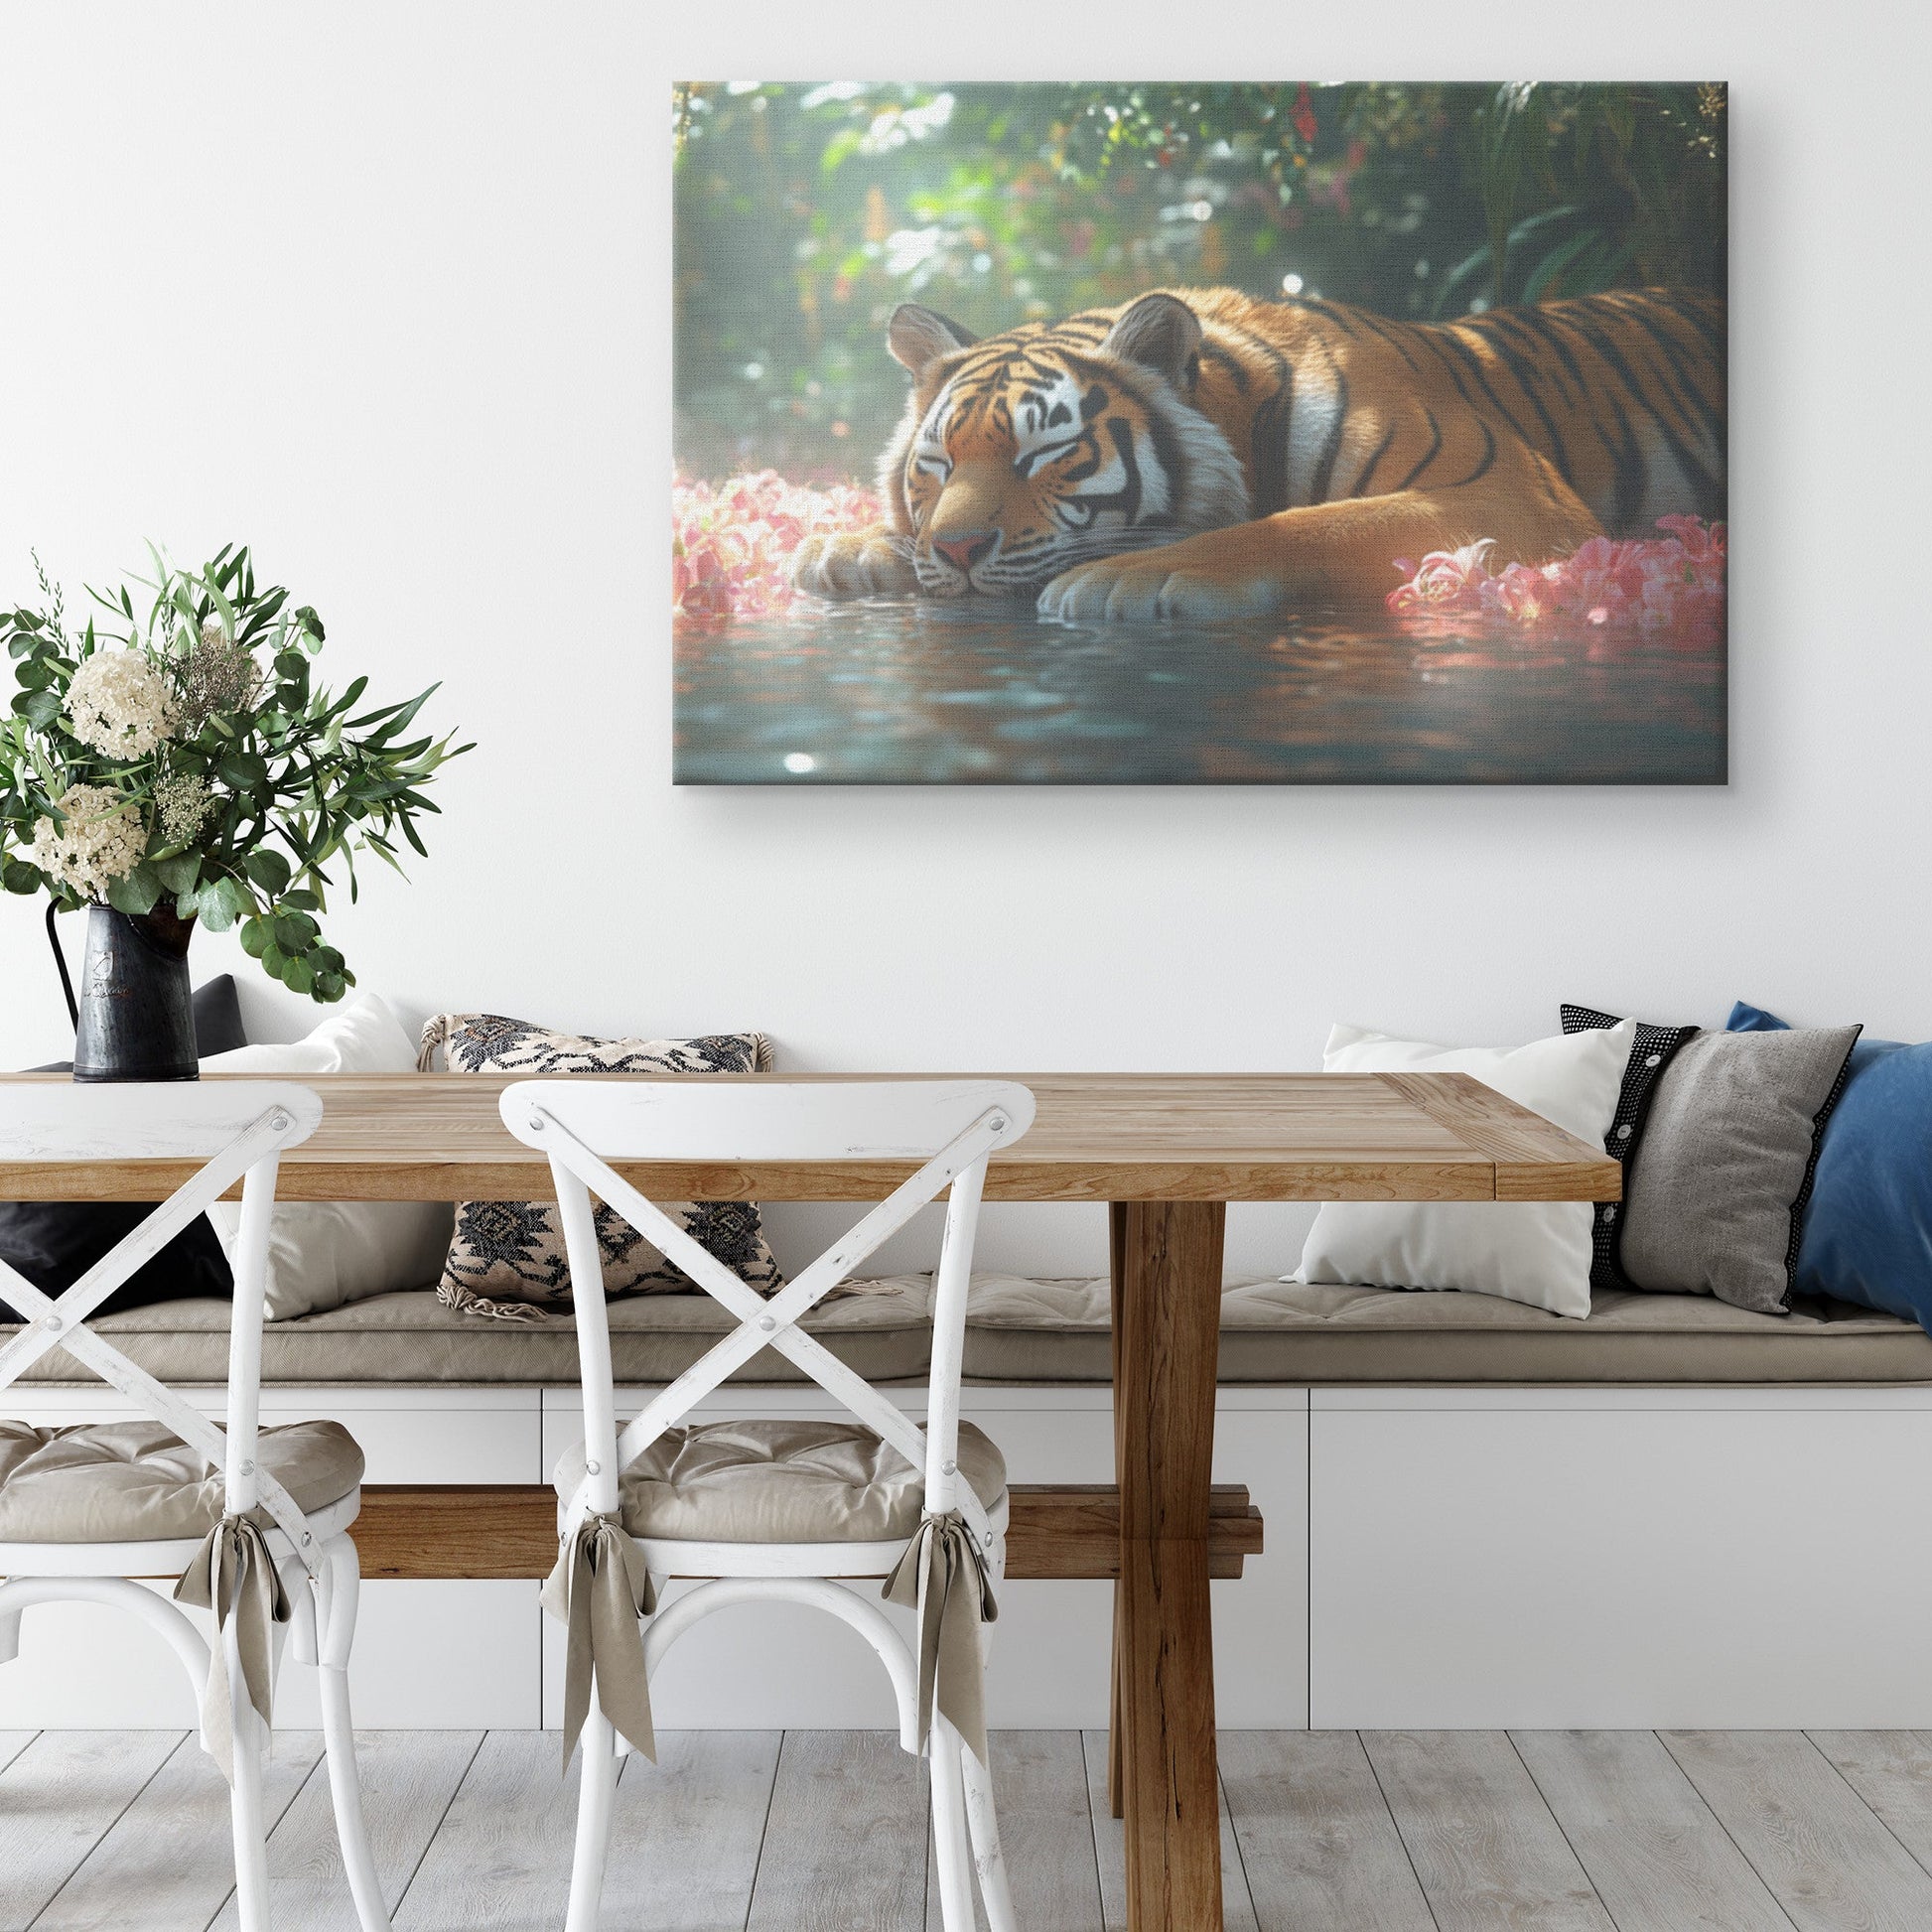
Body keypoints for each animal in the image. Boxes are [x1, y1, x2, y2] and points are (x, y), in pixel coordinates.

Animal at [789, 283, 1725, 622]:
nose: (955, 549)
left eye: (1042, 457)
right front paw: (847, 548)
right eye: (937, 465)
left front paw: (1123, 579)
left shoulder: (1507, 488)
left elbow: (1307, 523)